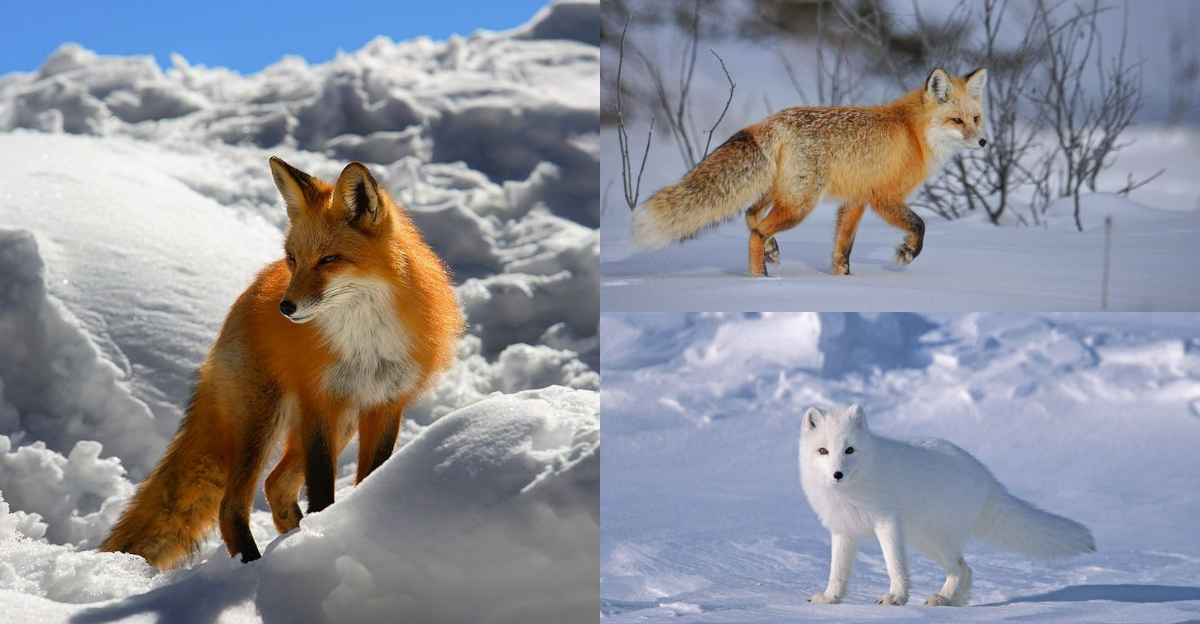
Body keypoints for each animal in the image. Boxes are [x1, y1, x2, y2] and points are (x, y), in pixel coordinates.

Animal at [100, 157, 463, 570]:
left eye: (329, 259)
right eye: (294, 258)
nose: (285, 308)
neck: (365, 341)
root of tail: (245, 298)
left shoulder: (386, 402)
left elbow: (371, 475)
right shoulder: (318, 400)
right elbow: (321, 488)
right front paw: (321, 540)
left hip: (339, 423)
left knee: (275, 485)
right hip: (262, 421)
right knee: (232, 505)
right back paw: (254, 565)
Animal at [631, 67, 988, 277]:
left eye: (976, 119)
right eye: (957, 121)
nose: (984, 142)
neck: (913, 133)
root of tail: (772, 120)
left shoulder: (855, 201)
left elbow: (842, 250)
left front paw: (843, 280)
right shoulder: (883, 197)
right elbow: (920, 226)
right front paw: (907, 254)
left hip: (776, 192)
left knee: (751, 216)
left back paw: (772, 251)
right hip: (801, 204)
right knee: (756, 231)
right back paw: (760, 279)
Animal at [799, 405, 1095, 607]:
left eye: (849, 450)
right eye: (823, 451)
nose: (837, 474)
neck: (853, 487)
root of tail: (986, 477)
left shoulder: (887, 523)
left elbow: (895, 565)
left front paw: (896, 598)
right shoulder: (843, 530)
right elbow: (837, 571)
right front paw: (830, 598)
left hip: (934, 538)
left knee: (961, 568)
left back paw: (942, 599)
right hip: (926, 540)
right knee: (966, 569)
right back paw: (953, 601)